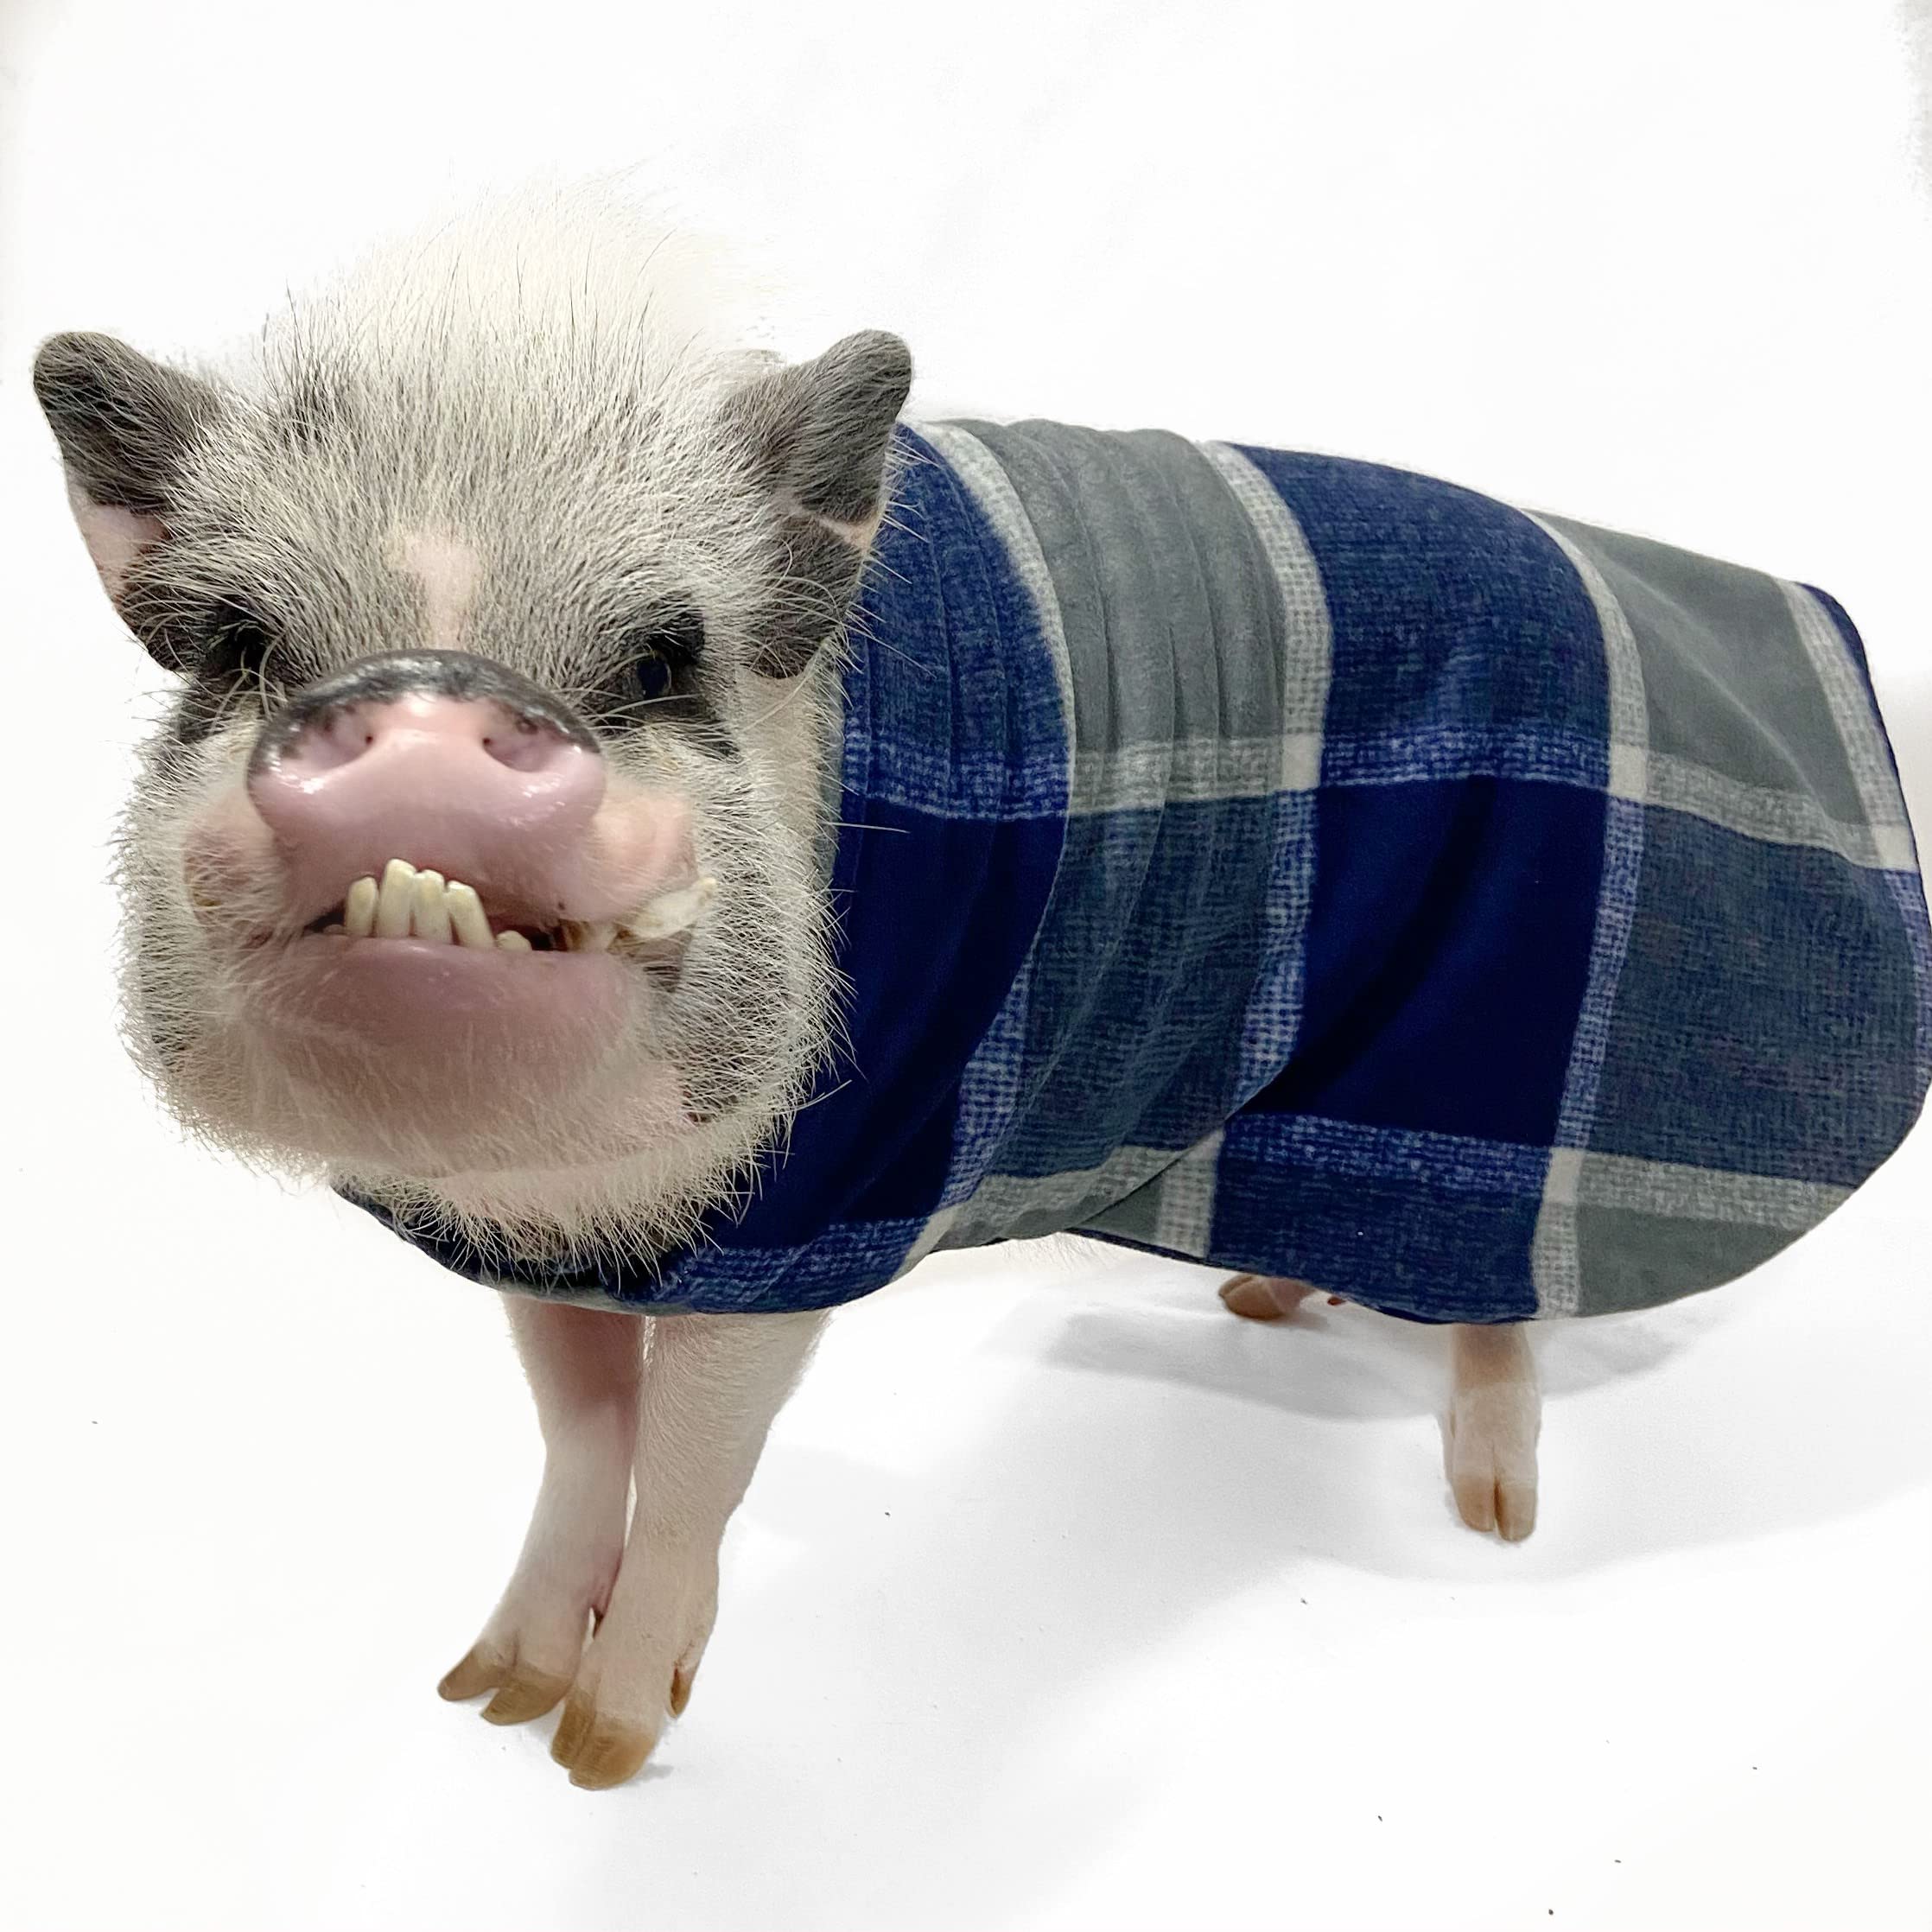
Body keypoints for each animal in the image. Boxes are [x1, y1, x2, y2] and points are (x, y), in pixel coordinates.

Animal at [34, 186, 1930, 1789]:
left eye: (659, 659)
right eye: (244, 650)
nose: (421, 708)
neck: (576, 1194)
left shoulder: (802, 1229)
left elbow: (694, 1461)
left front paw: (603, 1751)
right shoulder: (535, 1245)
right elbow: (580, 1429)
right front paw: (482, 1695)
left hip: (1495, 1040)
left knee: (1500, 1294)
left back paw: (1490, 1520)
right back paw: (1268, 1307)